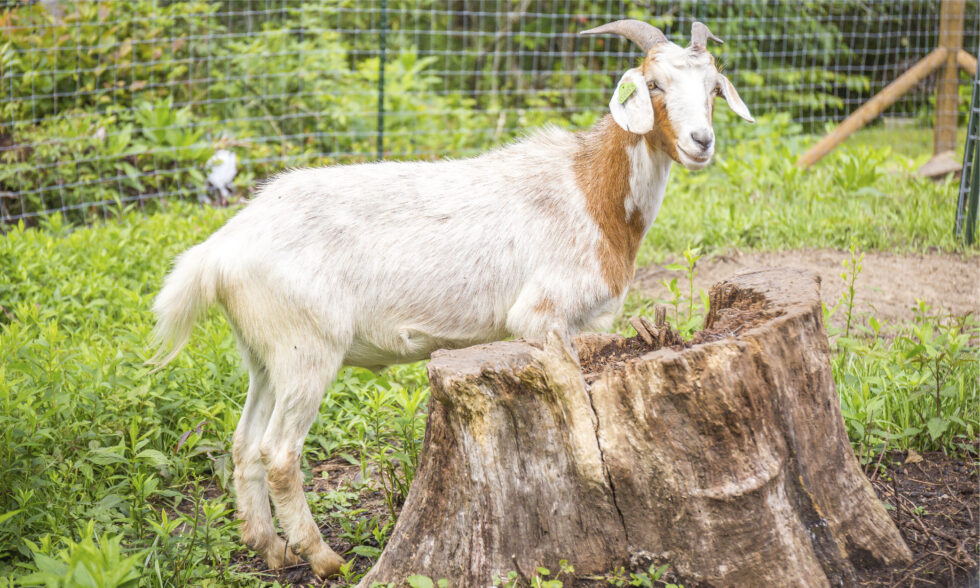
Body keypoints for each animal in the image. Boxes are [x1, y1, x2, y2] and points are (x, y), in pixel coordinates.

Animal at [151, 19, 754, 578]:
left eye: (714, 87)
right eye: (653, 84)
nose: (701, 142)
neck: (589, 190)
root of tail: (221, 250)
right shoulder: (543, 318)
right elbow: (576, 415)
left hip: (263, 355)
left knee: (243, 443)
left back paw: (270, 549)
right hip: (307, 352)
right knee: (277, 453)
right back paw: (323, 559)